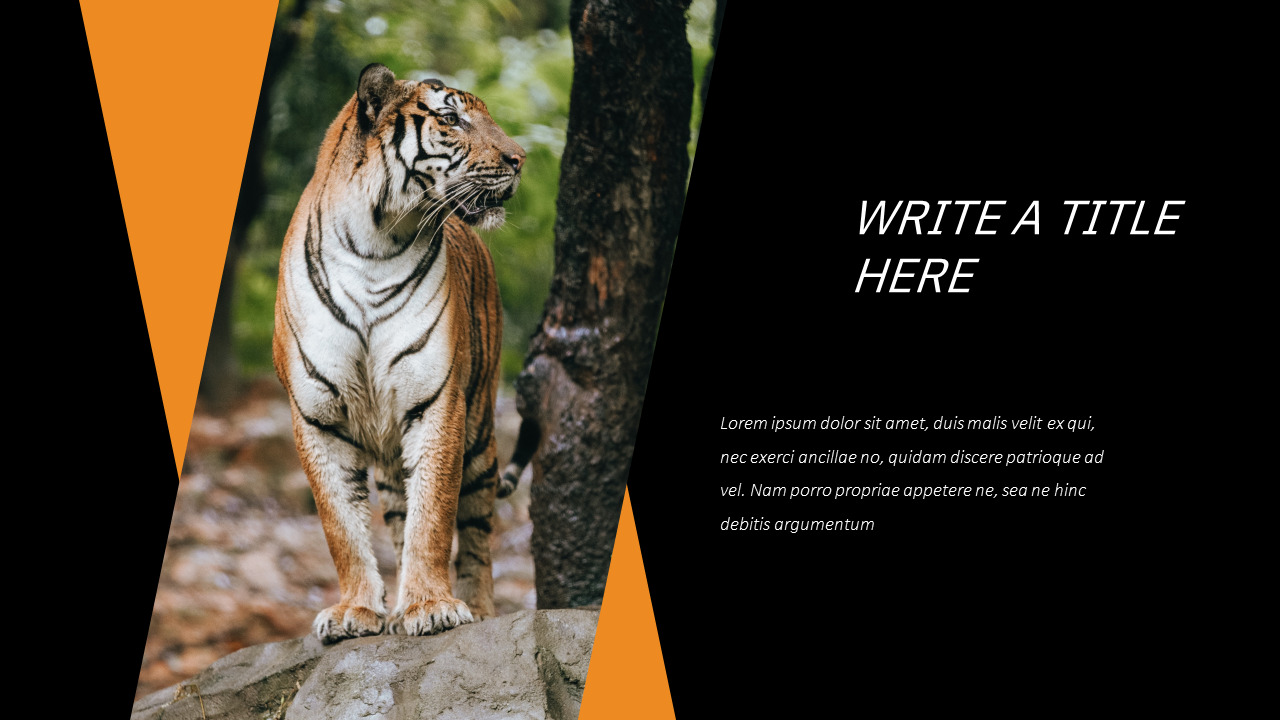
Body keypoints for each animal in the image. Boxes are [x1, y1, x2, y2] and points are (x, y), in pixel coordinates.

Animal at [272, 63, 526, 643]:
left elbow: (433, 515)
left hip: (481, 432)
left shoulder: (438, 403)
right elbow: (341, 525)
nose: (519, 159)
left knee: (476, 530)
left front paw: (431, 606)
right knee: (395, 517)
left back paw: (479, 607)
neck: (375, 243)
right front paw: (357, 609)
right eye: (452, 119)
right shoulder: (316, 416)